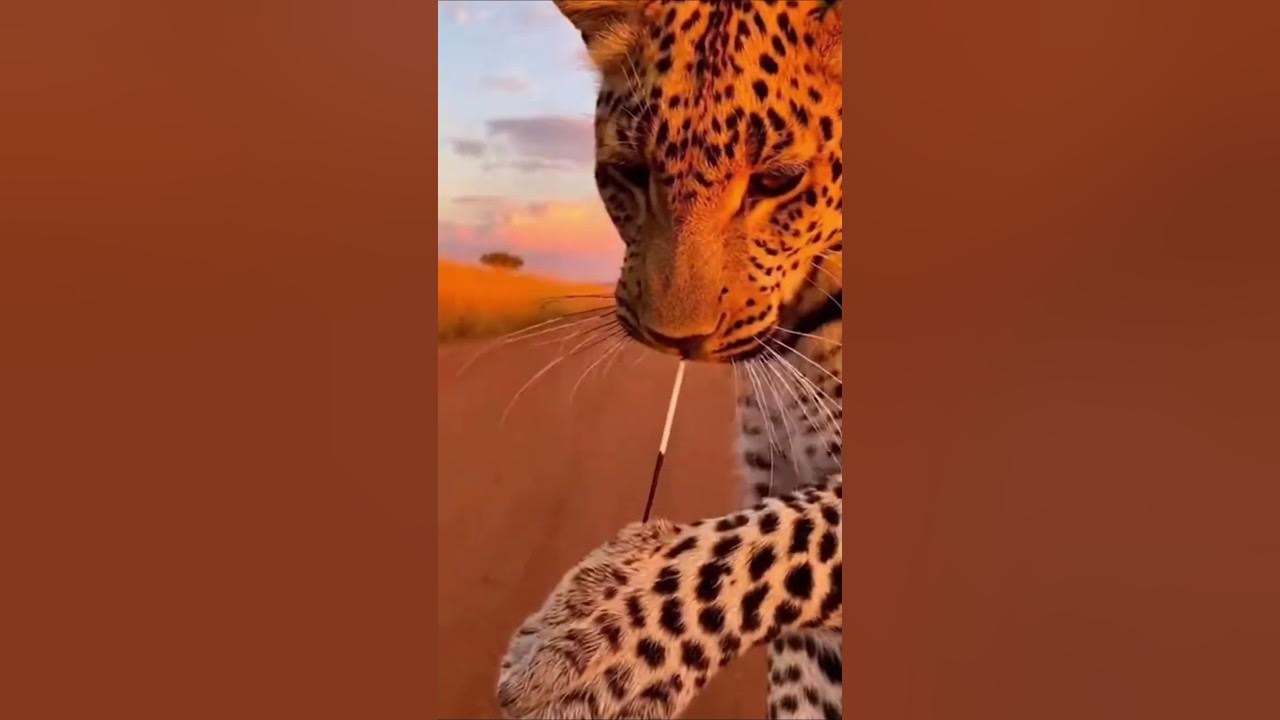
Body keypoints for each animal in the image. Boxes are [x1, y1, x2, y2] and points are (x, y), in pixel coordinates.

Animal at [497, 1, 843, 718]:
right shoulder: (775, 472)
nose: (675, 340)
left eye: (779, 181)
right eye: (630, 172)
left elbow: (766, 546)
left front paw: (593, 643)